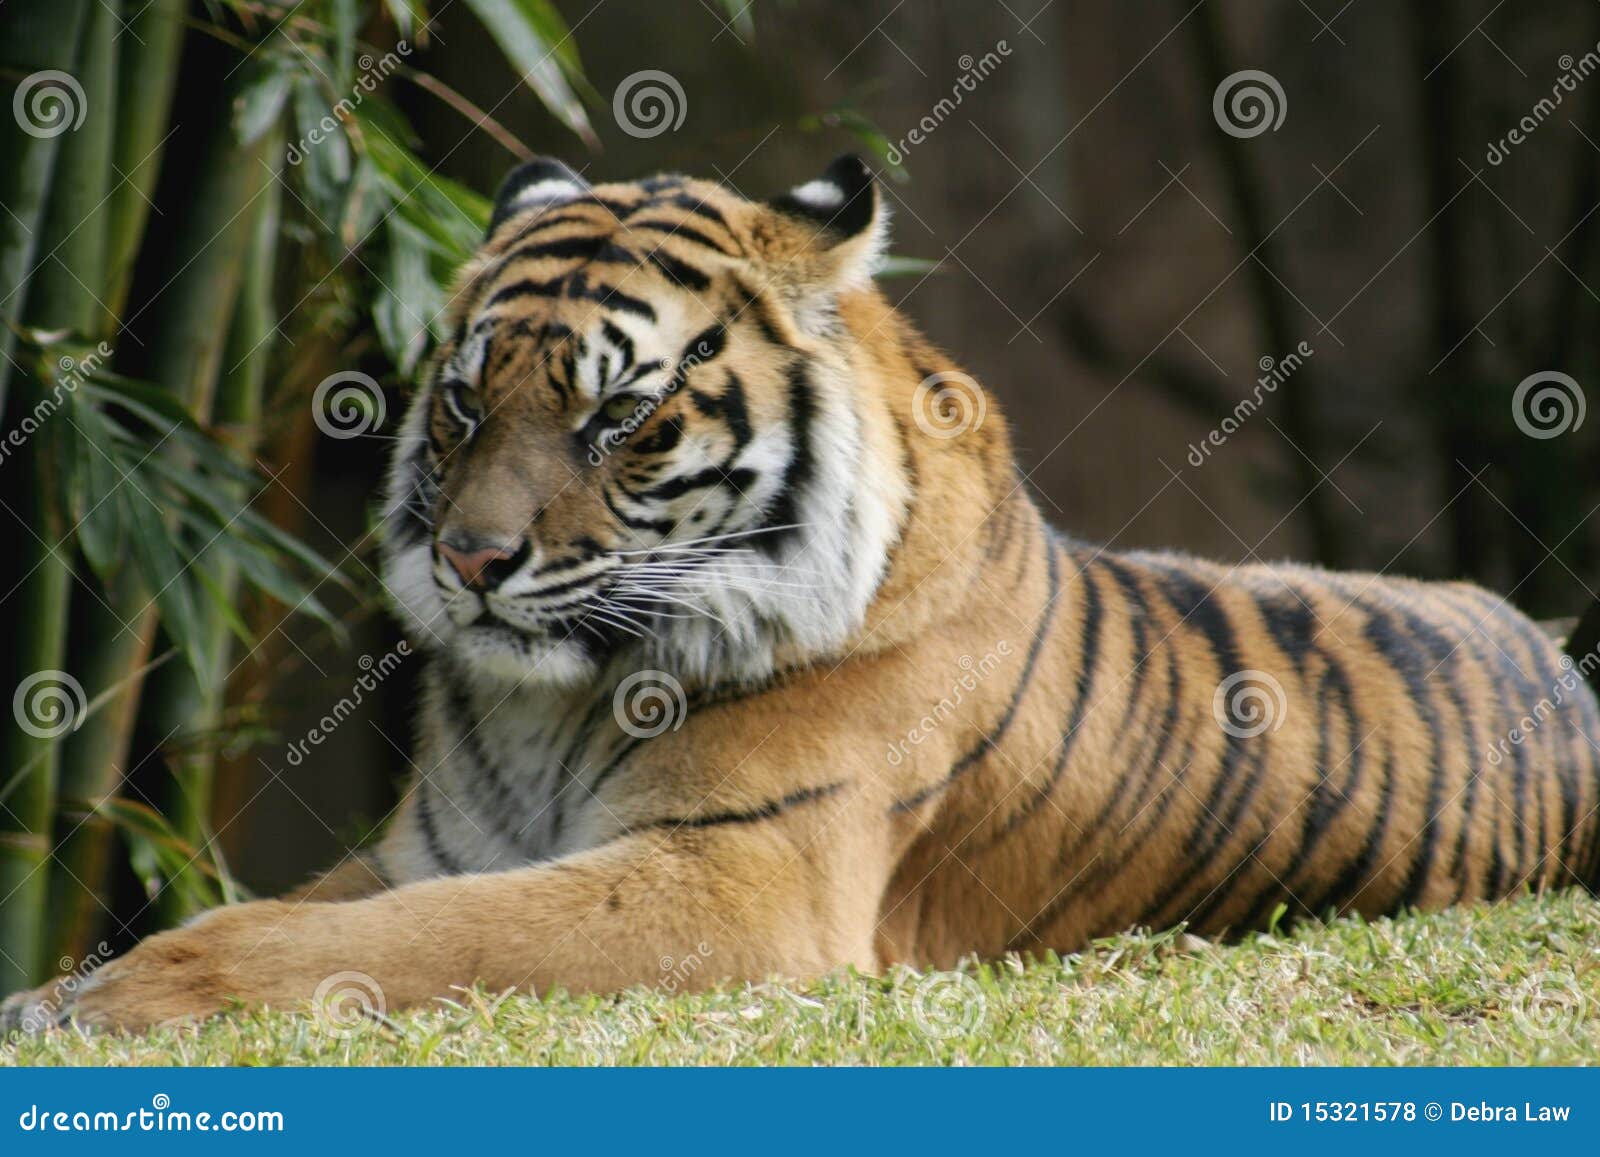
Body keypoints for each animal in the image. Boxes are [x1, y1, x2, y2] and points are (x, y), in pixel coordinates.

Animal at [6, 154, 1600, 1033]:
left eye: (620, 417)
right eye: (462, 402)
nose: (469, 562)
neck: (547, 708)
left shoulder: (738, 884)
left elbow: (377, 944)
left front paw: (107, 1000)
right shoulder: (430, 847)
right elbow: (322, 914)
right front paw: (63, 987)